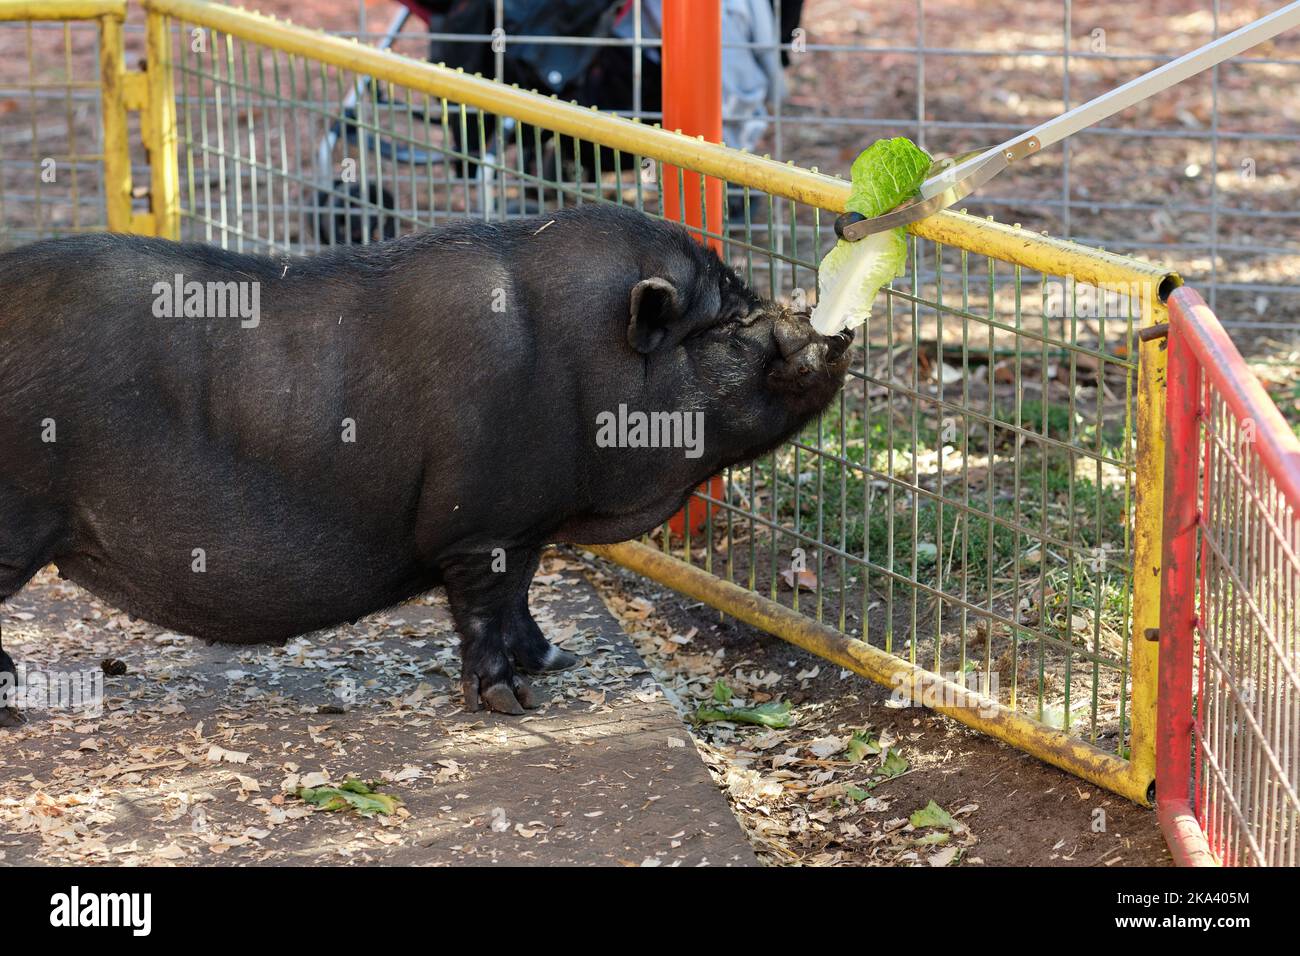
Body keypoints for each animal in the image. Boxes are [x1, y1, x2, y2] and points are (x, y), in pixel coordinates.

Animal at [0, 203, 853, 718]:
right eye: (728, 325)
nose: (836, 330)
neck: (586, 364)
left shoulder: (525, 524)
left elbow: (521, 596)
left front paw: (558, 659)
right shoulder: (479, 524)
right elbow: (483, 605)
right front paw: (512, 704)